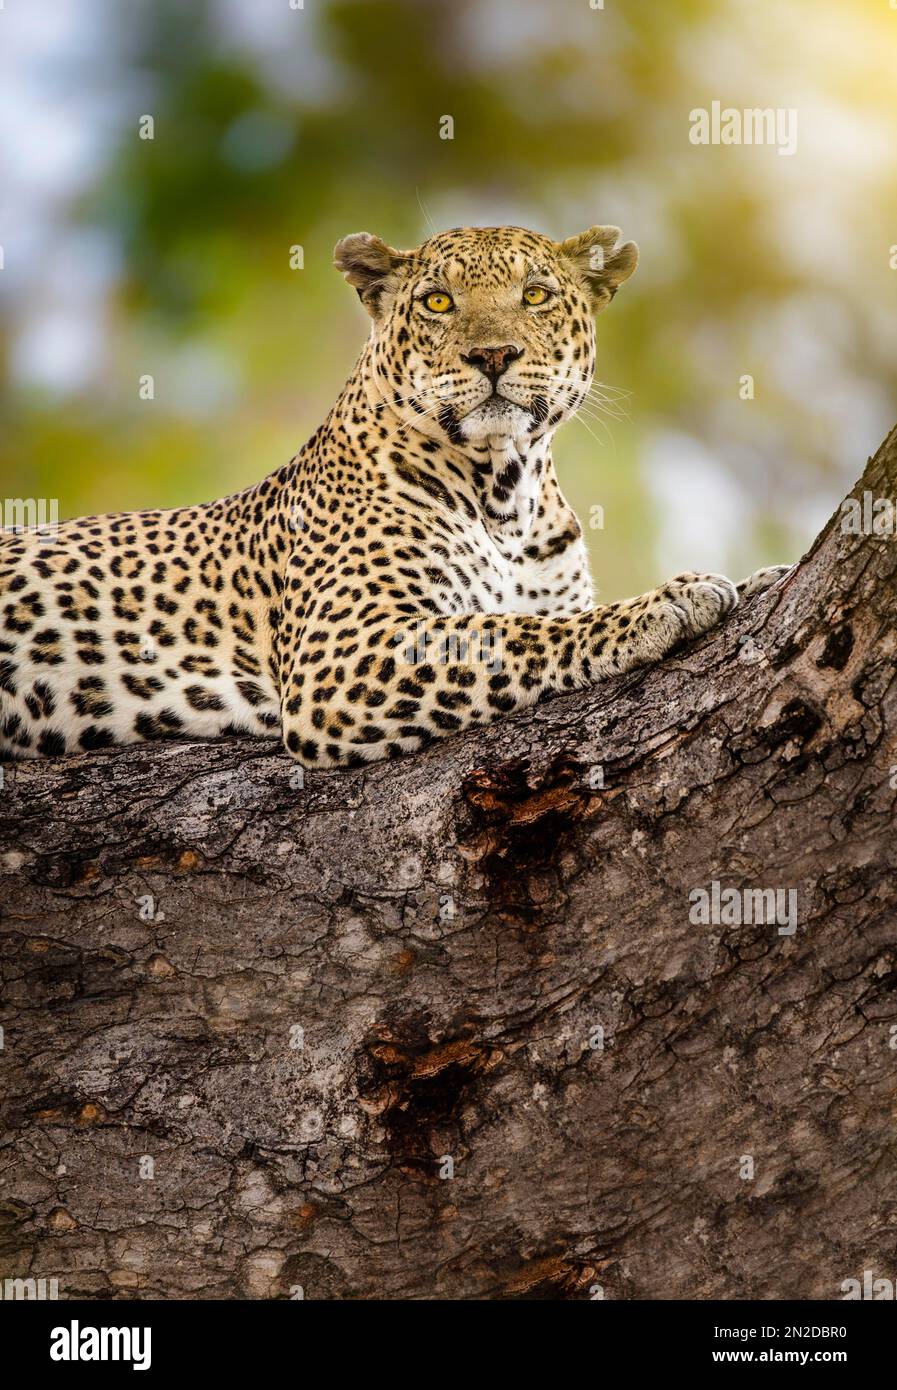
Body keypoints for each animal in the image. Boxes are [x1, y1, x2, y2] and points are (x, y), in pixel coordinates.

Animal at [0, 222, 789, 769]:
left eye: (535, 295)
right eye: (439, 302)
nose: (493, 355)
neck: (508, 494)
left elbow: (539, 616)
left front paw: (765, 577)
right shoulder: (344, 649)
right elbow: (512, 631)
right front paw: (667, 601)